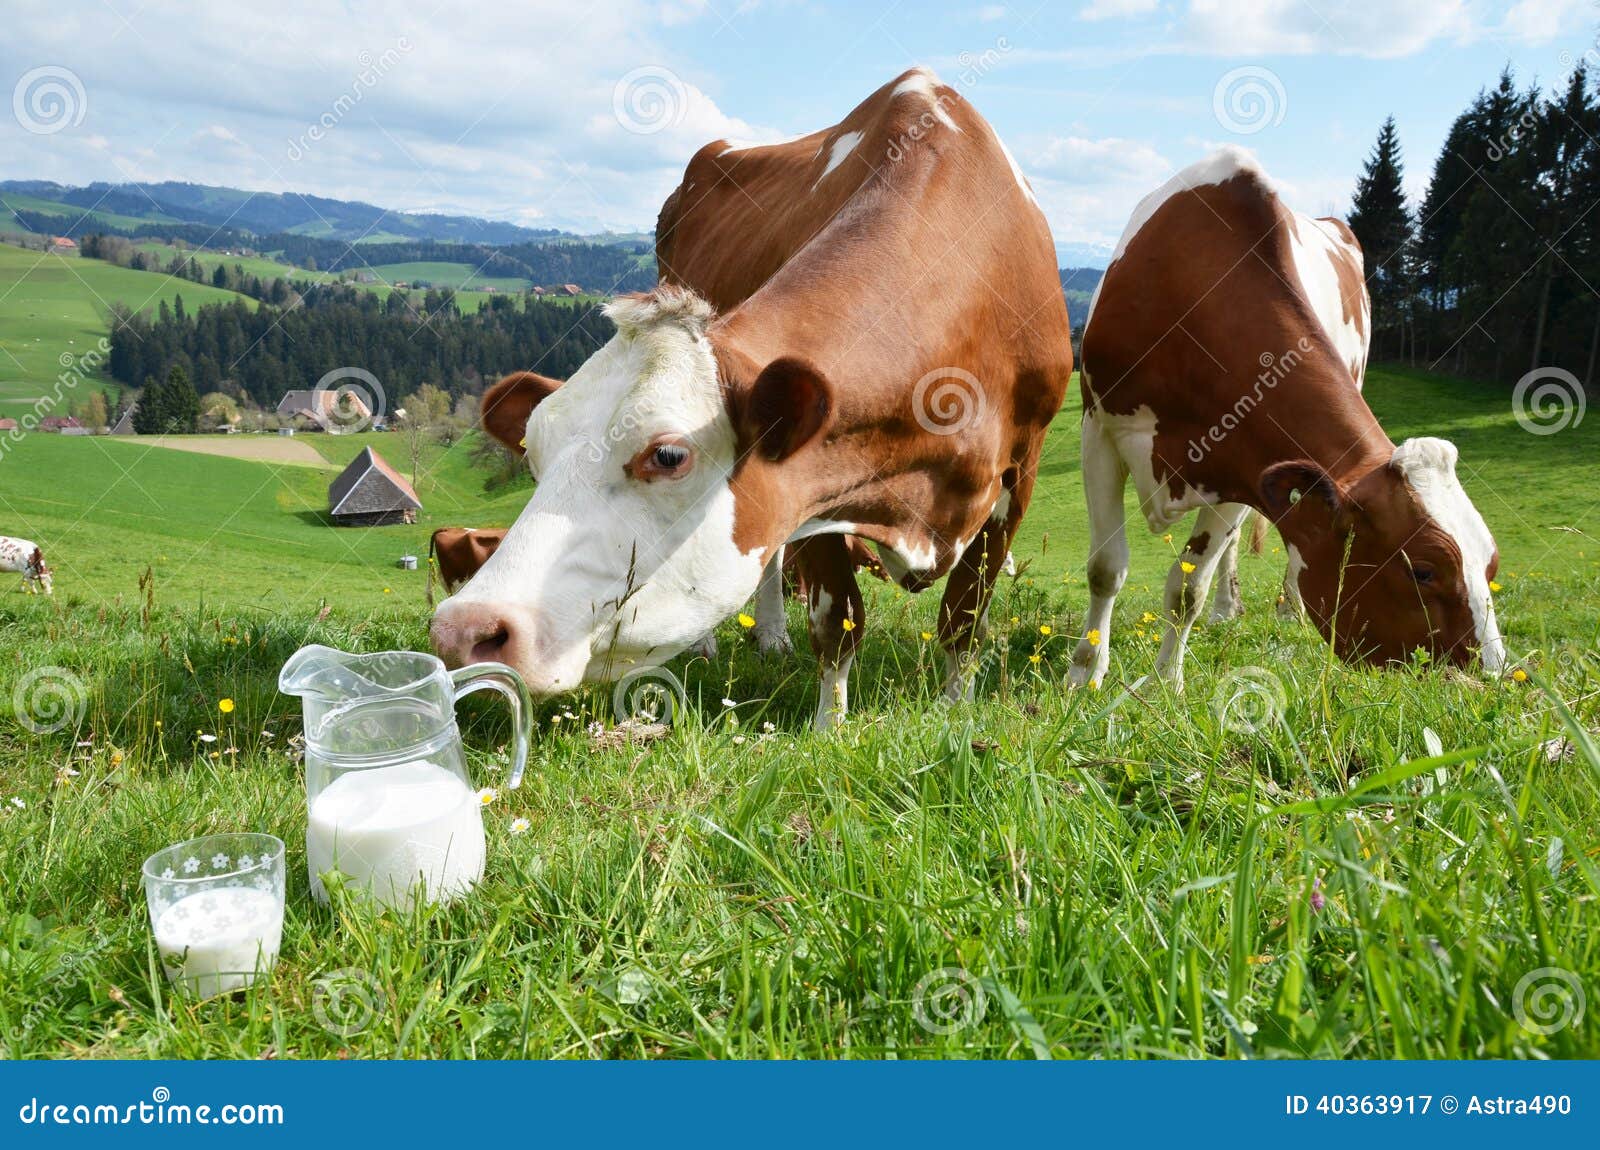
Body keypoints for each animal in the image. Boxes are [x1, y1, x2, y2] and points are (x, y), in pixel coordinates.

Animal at [430, 67, 1072, 728]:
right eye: (533, 456)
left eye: (668, 456)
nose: (463, 630)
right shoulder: (816, 482)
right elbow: (838, 621)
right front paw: (829, 728)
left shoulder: (1020, 466)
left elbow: (964, 619)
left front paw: (954, 714)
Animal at [1069, 147, 1502, 694]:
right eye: (1422, 571)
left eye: (1491, 563)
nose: (1491, 679)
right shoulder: (1099, 429)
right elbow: (1106, 568)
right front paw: (1085, 674)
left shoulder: (1245, 468)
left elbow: (1188, 588)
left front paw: (1169, 682)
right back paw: (1227, 610)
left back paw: (1283, 608)